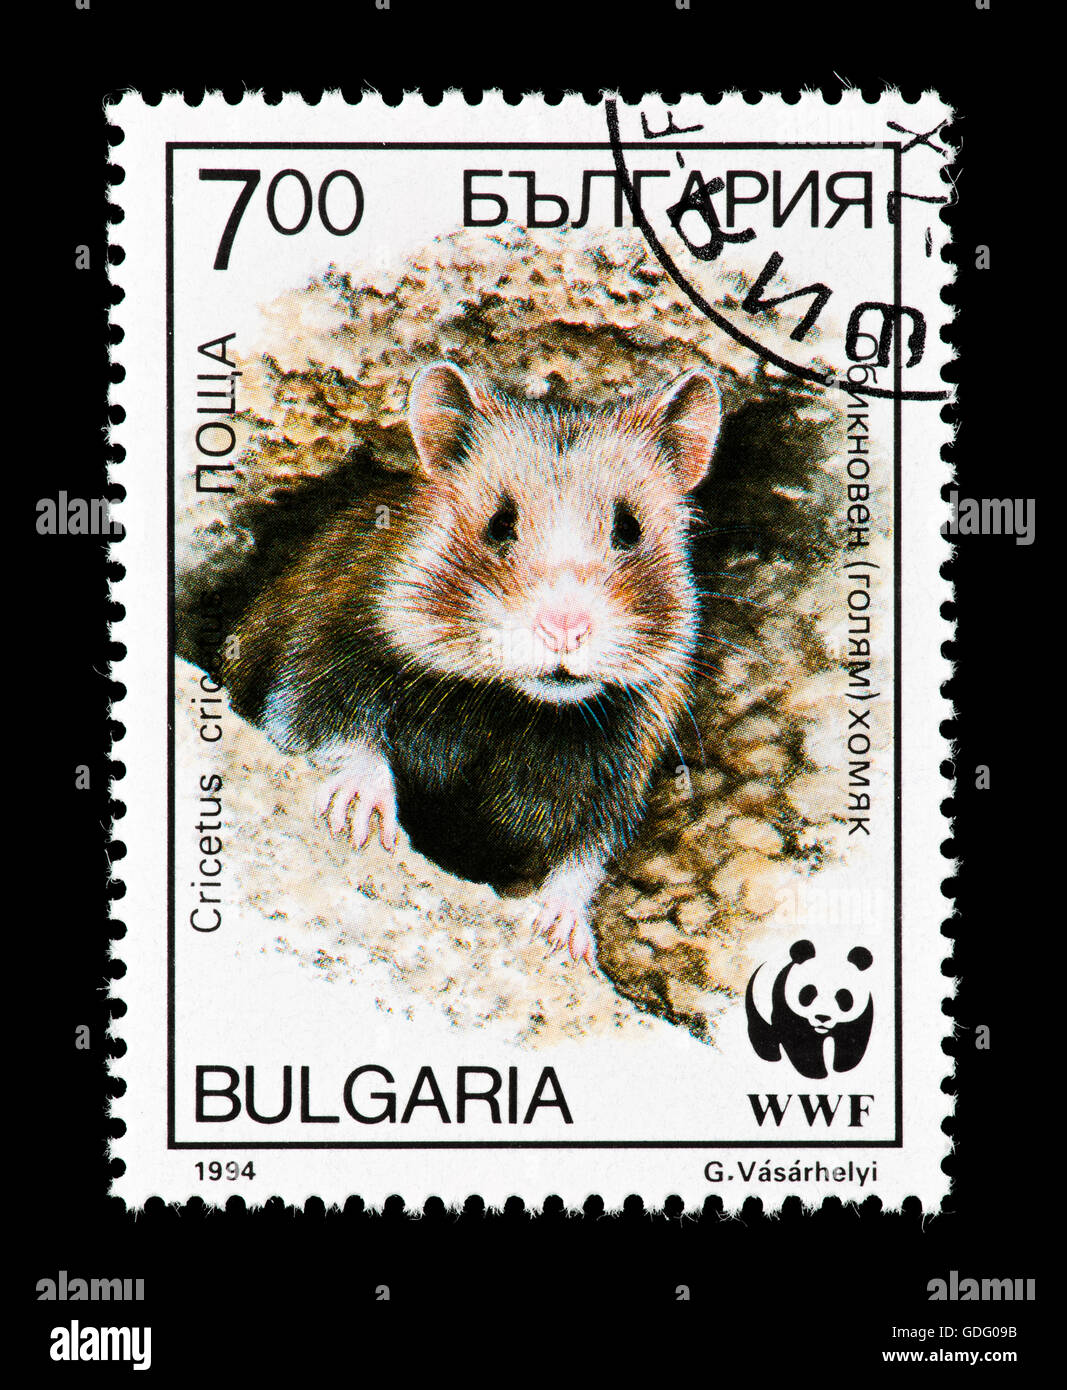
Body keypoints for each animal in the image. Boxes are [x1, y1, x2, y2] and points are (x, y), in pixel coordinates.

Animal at [221, 362, 722, 966]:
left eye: (629, 529)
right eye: (499, 524)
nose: (564, 629)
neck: (506, 704)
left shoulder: (619, 764)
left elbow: (583, 854)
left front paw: (564, 935)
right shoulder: (322, 658)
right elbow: (336, 735)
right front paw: (362, 820)